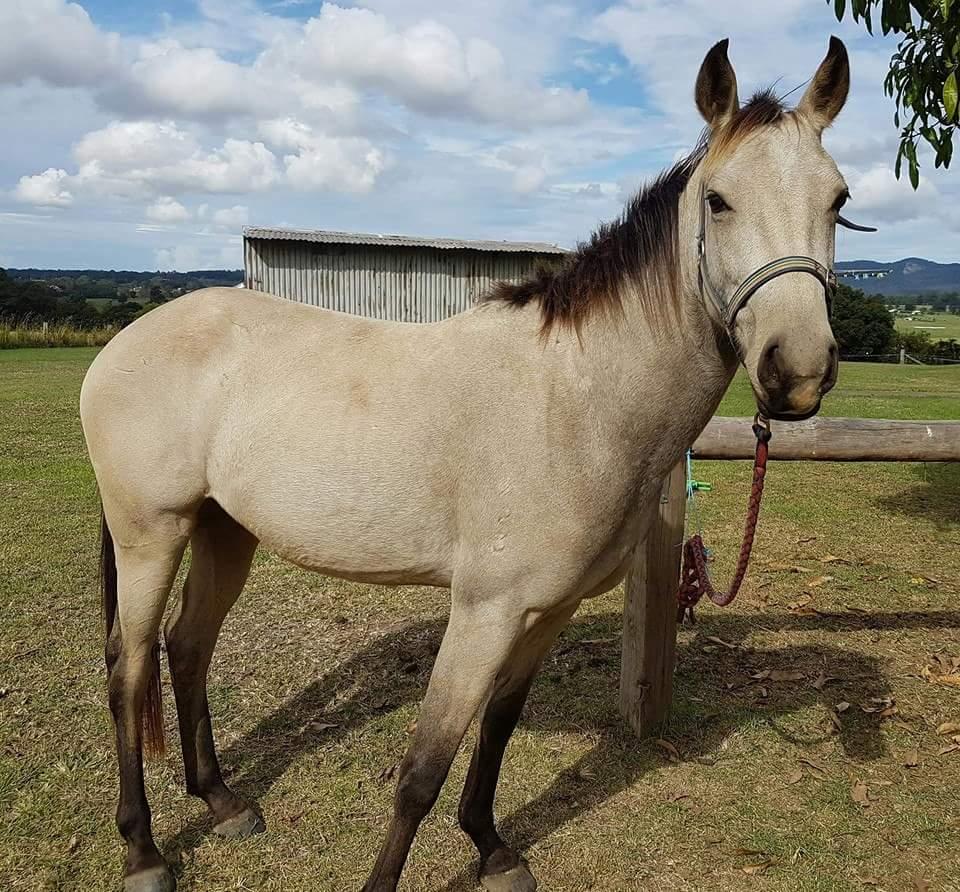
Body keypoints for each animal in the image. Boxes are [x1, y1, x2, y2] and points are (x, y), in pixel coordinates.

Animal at [81, 37, 853, 892]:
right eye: (718, 201)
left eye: (838, 200)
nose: (798, 368)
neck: (572, 399)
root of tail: (124, 342)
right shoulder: (483, 613)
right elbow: (423, 768)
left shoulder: (548, 611)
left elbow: (498, 729)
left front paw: (492, 847)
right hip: (152, 533)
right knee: (128, 669)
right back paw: (143, 850)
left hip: (225, 529)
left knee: (187, 646)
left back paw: (222, 802)